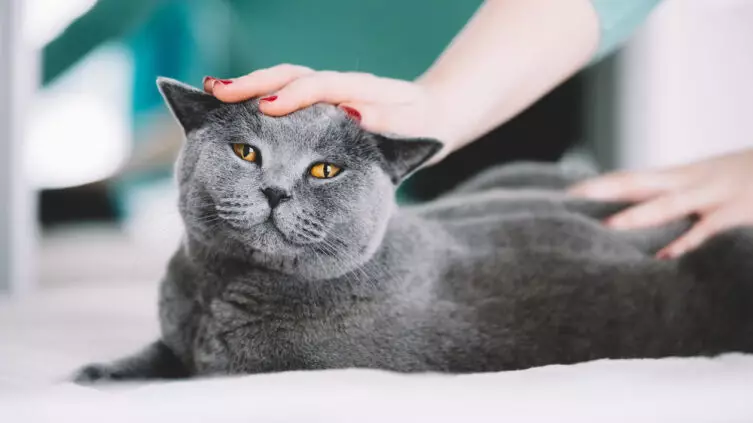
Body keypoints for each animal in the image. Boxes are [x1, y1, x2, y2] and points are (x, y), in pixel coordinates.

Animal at [73, 78, 752, 382]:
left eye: (324, 170)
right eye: (245, 152)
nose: (275, 190)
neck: (216, 295)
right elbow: (154, 353)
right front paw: (95, 374)